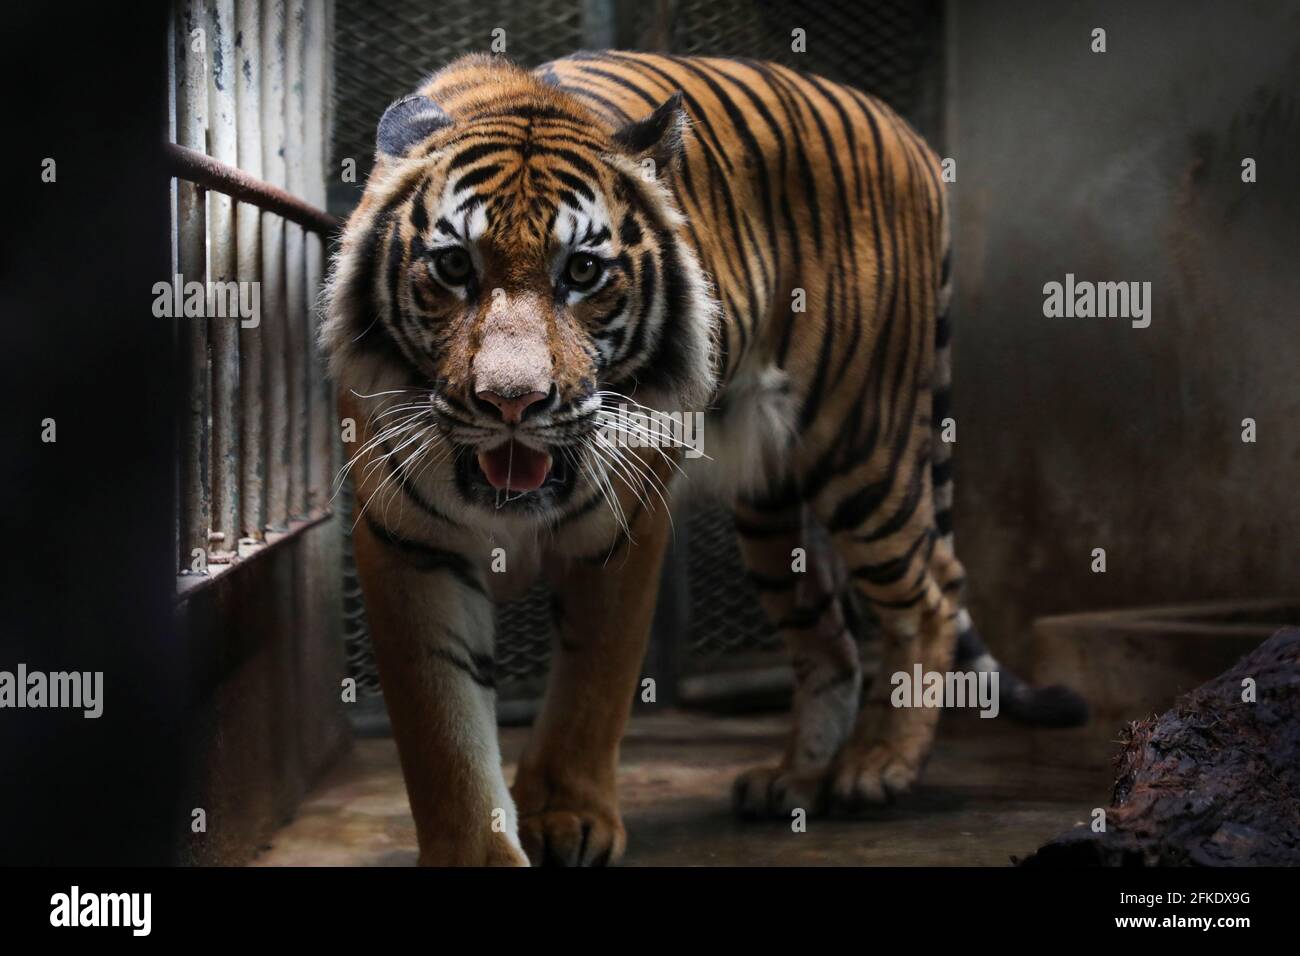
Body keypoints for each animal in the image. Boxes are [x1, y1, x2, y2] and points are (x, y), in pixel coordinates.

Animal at [322, 50, 1086, 867]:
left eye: (582, 273)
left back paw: (877, 766)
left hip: (864, 447)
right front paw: (477, 850)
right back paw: (795, 781)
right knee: (833, 639)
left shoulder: (624, 529)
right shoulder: (409, 542)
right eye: (455, 267)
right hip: (773, 506)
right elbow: (443, 728)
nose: (512, 403)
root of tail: (902, 127)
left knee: (931, 594)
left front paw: (568, 814)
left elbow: (593, 684)